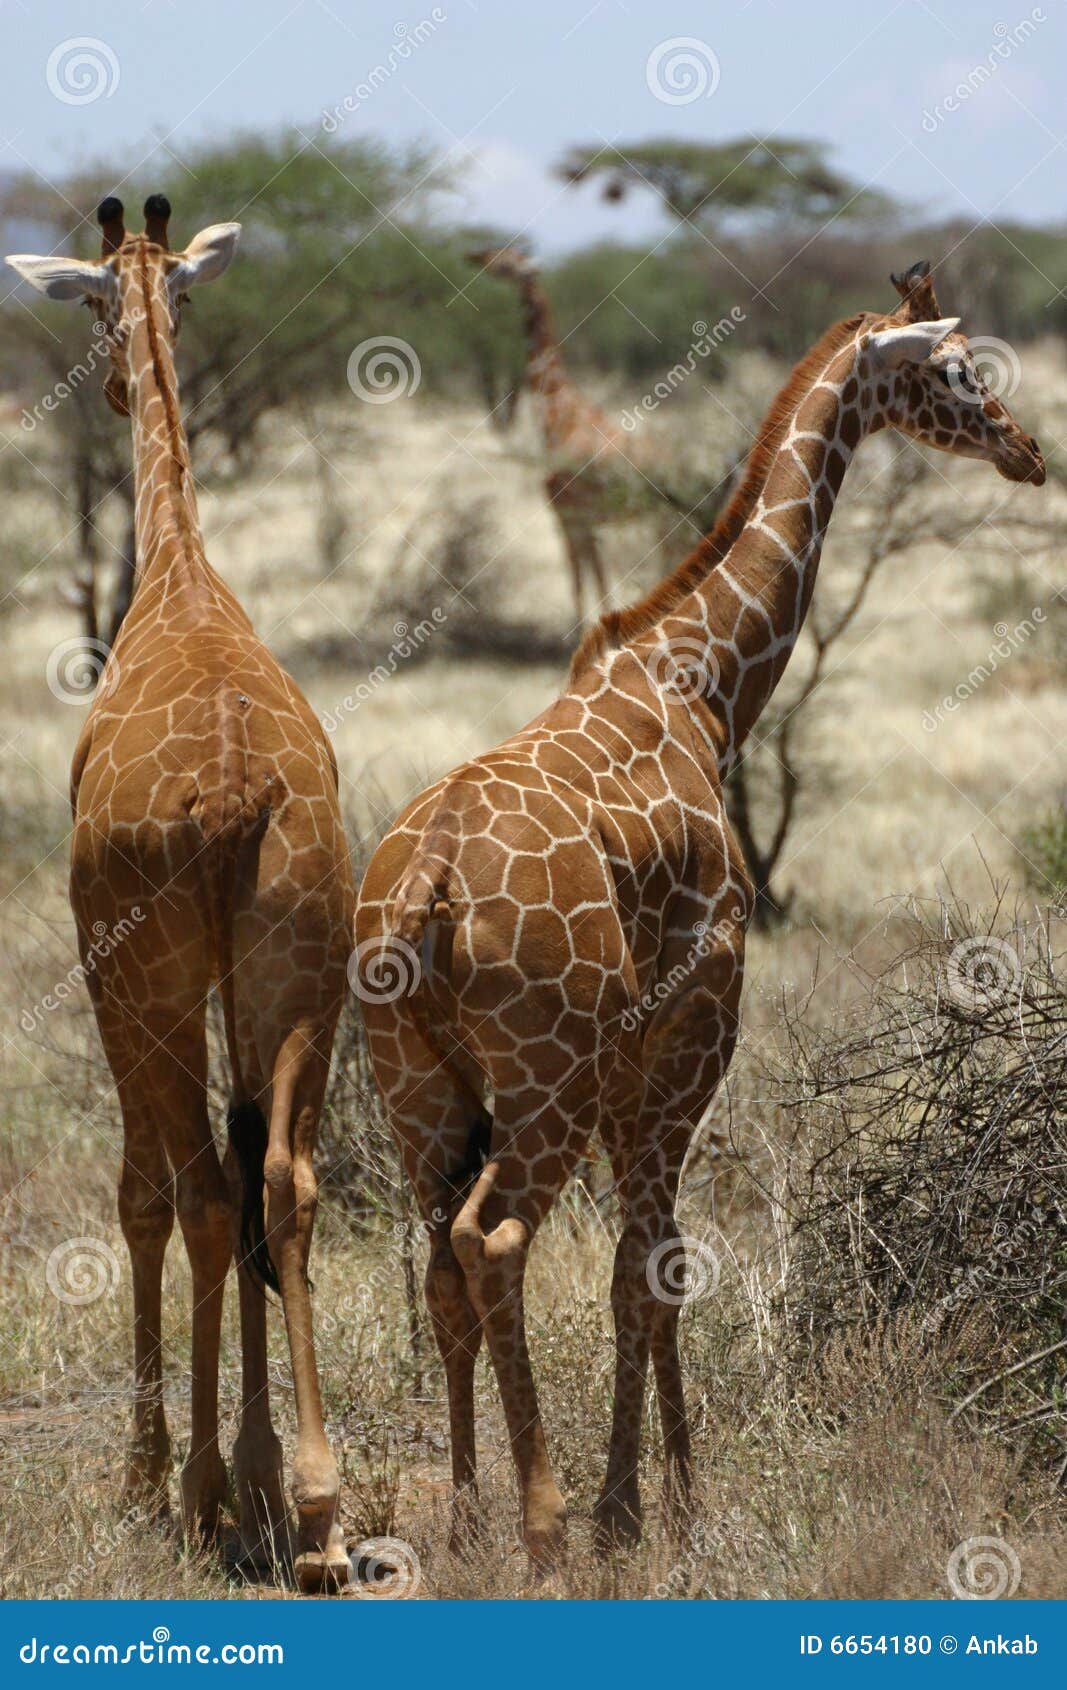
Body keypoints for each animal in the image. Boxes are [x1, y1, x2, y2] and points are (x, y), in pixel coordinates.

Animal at [468, 245, 718, 627]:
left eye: (506, 260)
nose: (473, 256)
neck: (558, 414)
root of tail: (689, 472)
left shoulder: (570, 515)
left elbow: (581, 580)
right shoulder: (583, 521)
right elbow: (595, 578)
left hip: (667, 521)